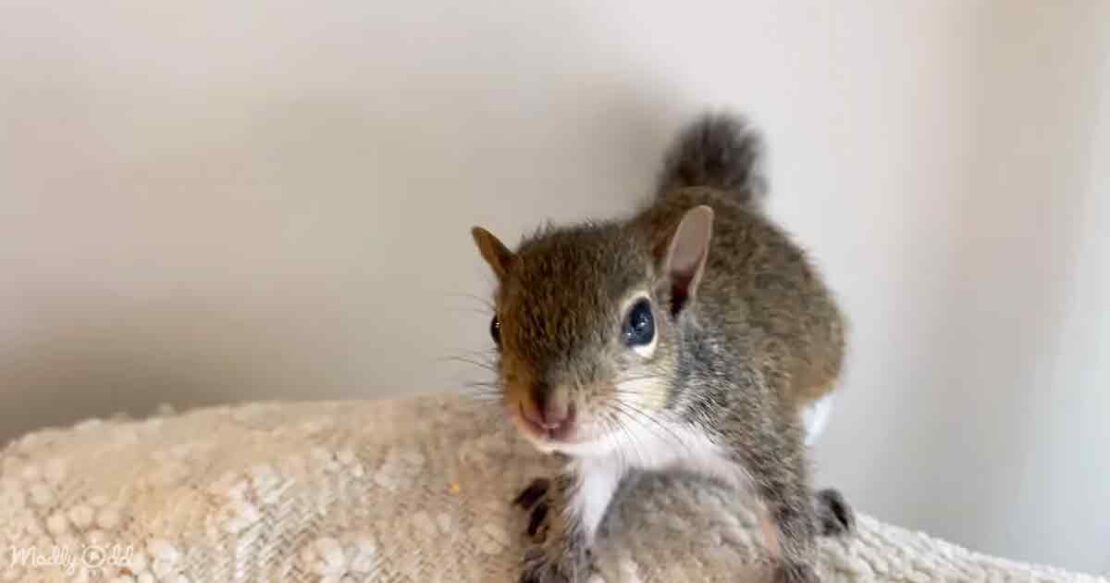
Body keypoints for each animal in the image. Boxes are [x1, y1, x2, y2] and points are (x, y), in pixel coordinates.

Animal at [470, 113, 854, 583]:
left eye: (641, 322)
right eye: (495, 328)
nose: (546, 414)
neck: (651, 422)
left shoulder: (754, 423)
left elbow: (788, 507)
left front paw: (797, 568)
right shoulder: (593, 456)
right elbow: (577, 504)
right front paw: (556, 558)